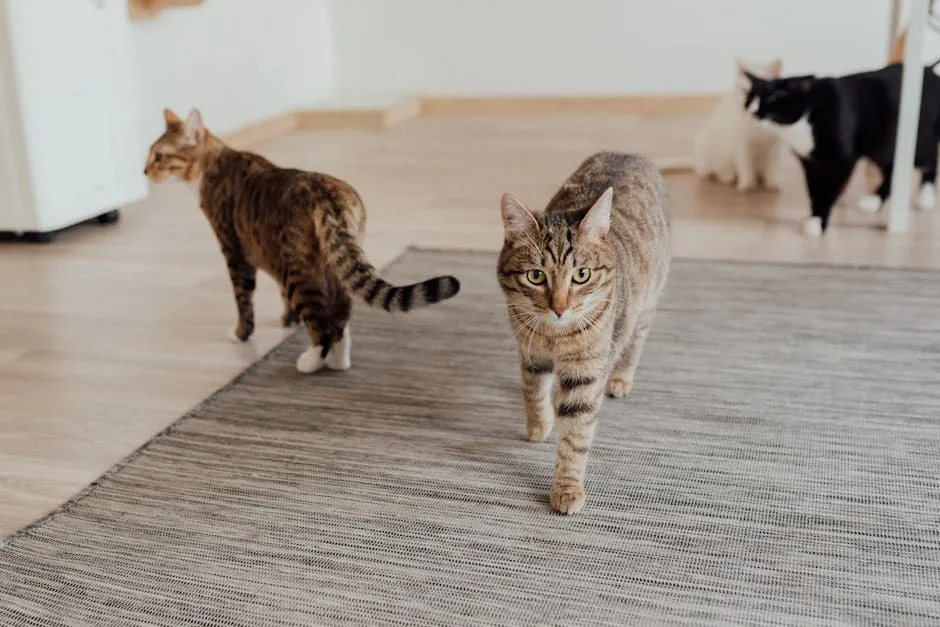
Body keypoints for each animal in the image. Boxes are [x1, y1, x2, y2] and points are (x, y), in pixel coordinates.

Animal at [142, 108, 458, 372]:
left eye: (158, 156)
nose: (144, 171)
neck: (216, 162)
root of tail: (325, 193)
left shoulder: (235, 251)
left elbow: (243, 299)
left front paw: (241, 333)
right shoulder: (270, 253)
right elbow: (282, 296)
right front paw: (286, 320)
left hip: (298, 267)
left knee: (319, 322)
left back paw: (311, 361)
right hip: (333, 263)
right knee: (340, 317)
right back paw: (338, 360)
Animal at [496, 152, 672, 516]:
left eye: (582, 274)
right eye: (536, 276)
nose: (560, 307)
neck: (554, 336)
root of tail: (631, 153)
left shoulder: (586, 369)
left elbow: (575, 436)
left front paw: (566, 488)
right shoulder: (530, 351)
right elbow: (532, 392)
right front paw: (539, 425)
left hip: (645, 305)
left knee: (634, 343)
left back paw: (620, 378)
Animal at [692, 59, 788, 191]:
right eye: (745, 91)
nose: (749, 107)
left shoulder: (776, 144)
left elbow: (772, 167)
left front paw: (772, 182)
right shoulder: (741, 144)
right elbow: (745, 165)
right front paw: (747, 184)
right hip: (706, 142)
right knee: (714, 170)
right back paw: (727, 176)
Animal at [740, 61, 940, 234]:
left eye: (772, 98)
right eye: (750, 98)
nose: (753, 111)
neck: (806, 120)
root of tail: (929, 70)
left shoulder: (841, 161)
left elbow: (829, 191)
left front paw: (818, 222)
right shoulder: (810, 163)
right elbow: (814, 191)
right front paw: (814, 217)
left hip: (912, 140)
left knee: (929, 160)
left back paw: (925, 197)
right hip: (881, 148)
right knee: (892, 171)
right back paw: (873, 201)